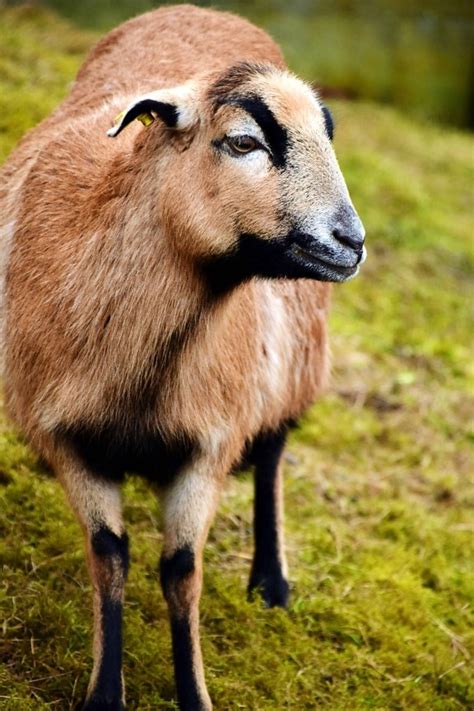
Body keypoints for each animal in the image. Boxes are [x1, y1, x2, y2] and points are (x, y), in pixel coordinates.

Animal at [0, 4, 366, 709]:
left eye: (328, 139)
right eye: (245, 143)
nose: (351, 241)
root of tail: (203, 10)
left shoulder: (209, 443)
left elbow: (181, 570)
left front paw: (194, 694)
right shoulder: (68, 438)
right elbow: (109, 554)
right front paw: (103, 695)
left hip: (293, 363)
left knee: (273, 453)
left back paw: (271, 582)